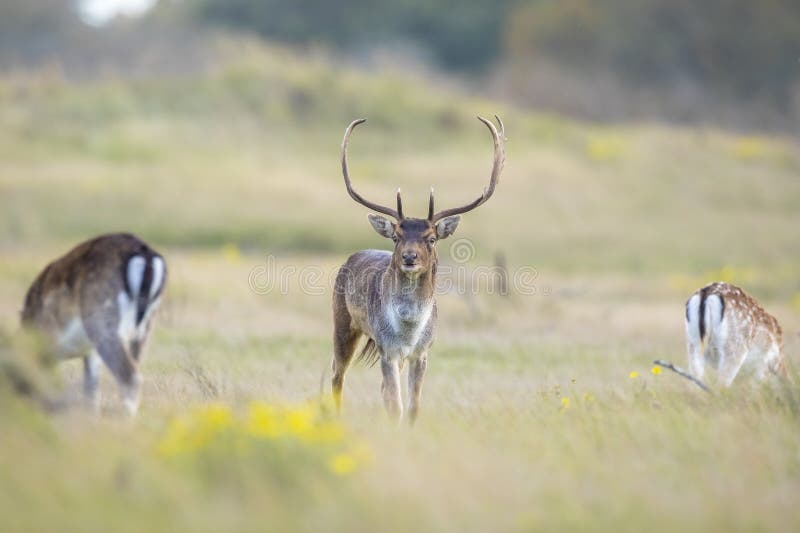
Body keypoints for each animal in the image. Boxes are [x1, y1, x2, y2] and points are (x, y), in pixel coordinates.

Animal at [21, 233, 166, 415]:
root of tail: (146, 255)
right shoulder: (90, 352)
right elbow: (91, 392)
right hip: (144, 329)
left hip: (103, 323)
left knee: (129, 375)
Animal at [331, 115, 505, 424]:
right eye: (396, 236)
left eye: (431, 238)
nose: (410, 257)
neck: (409, 331)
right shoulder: (387, 349)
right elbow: (395, 405)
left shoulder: (422, 352)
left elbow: (413, 406)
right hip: (342, 324)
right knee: (336, 376)